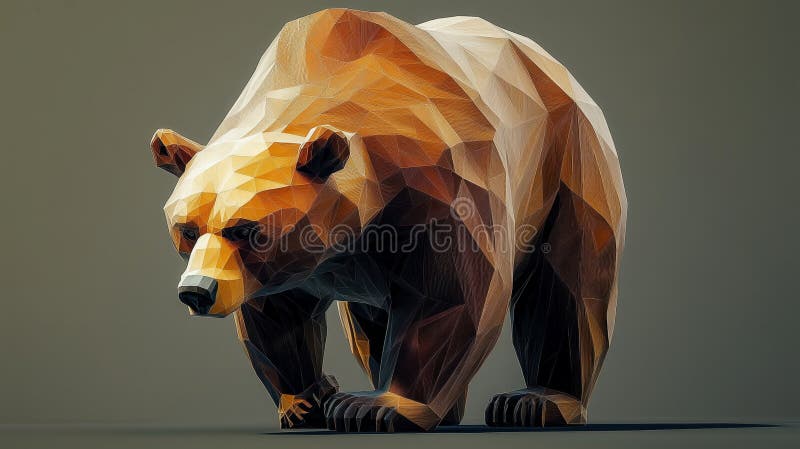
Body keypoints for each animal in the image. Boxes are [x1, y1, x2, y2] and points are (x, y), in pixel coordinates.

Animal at [150, 9, 626, 432]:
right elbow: (275, 311)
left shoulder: (437, 183)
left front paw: (375, 408)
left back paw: (536, 401)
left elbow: (449, 295)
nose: (196, 292)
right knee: (370, 321)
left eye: (247, 230)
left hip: (570, 164)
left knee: (569, 286)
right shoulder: (301, 260)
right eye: (187, 230)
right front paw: (306, 401)